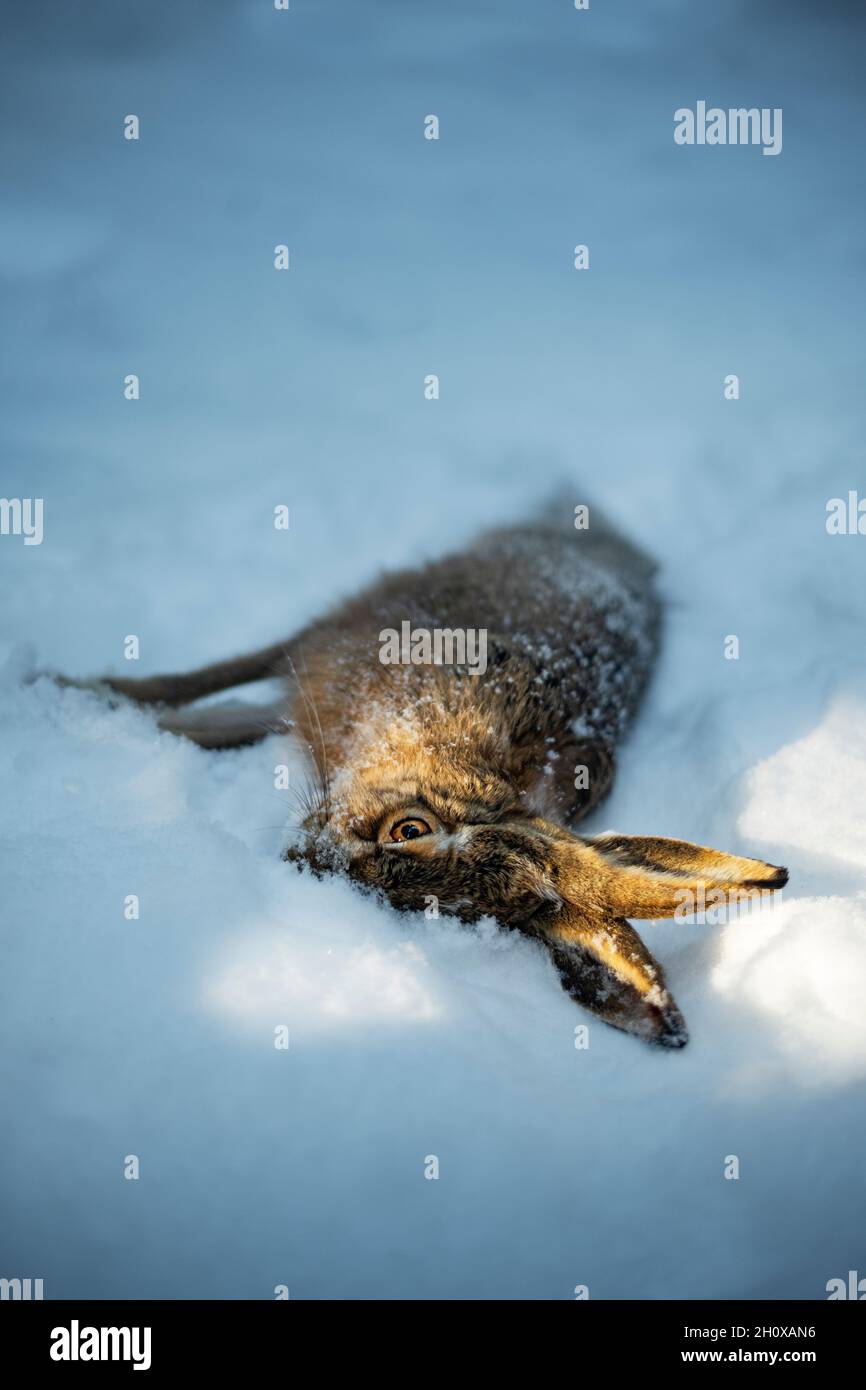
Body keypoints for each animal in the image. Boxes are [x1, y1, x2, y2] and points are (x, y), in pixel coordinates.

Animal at [68, 499, 787, 1047]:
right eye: (409, 829)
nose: (304, 859)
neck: (456, 752)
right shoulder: (336, 637)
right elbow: (206, 681)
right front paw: (66, 688)